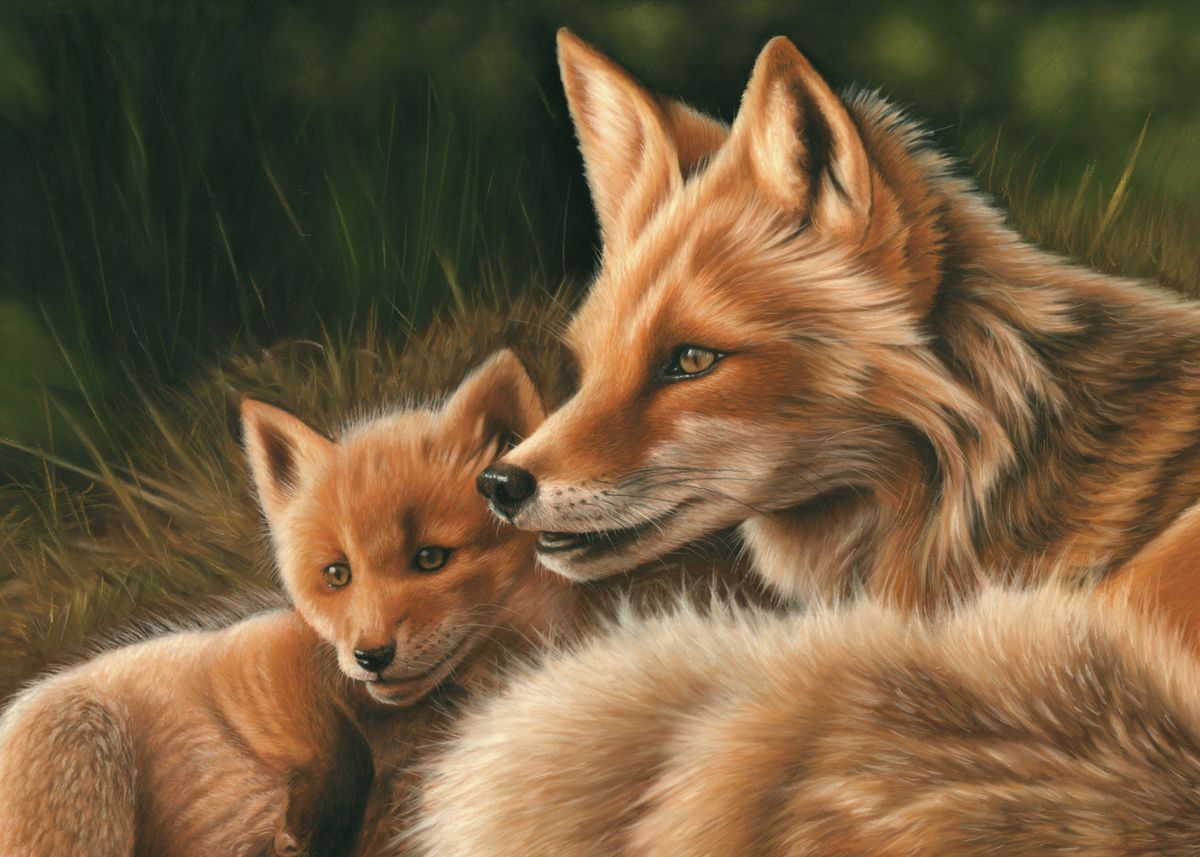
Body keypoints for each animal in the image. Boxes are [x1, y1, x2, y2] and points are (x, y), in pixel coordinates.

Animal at [0, 349, 755, 857]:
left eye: (430, 559)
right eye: (336, 574)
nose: (372, 655)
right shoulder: (255, 657)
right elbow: (332, 745)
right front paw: (308, 825)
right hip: (83, 763)